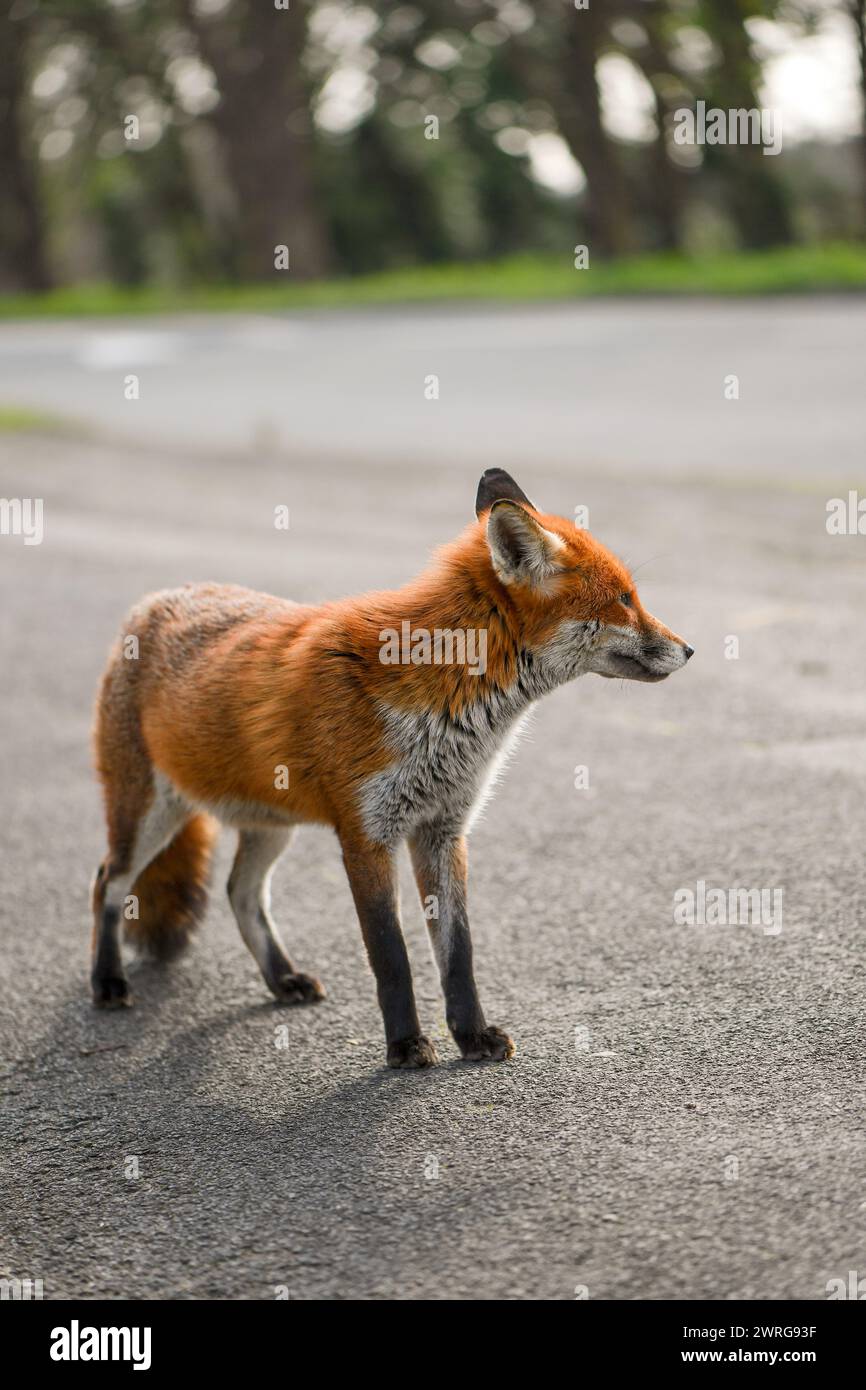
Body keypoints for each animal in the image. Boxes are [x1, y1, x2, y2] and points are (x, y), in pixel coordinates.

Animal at [91, 472, 695, 1067]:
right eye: (624, 600)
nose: (689, 649)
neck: (446, 703)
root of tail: (151, 602)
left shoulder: (443, 830)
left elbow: (458, 952)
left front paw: (472, 1036)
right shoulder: (367, 834)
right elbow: (392, 955)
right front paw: (406, 1046)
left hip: (270, 825)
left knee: (241, 893)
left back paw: (282, 979)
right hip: (148, 815)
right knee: (108, 883)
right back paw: (108, 982)